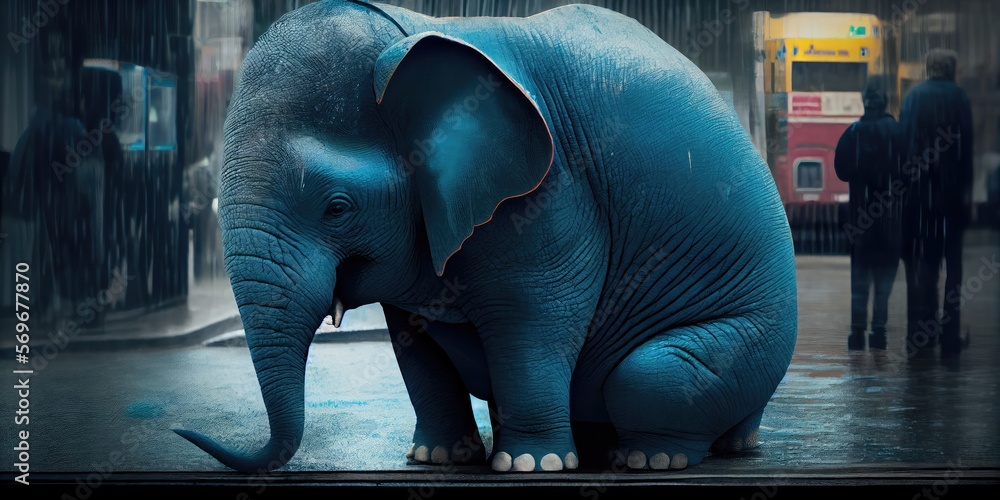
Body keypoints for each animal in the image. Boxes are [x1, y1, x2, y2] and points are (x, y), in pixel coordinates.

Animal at [175, 0, 798, 473]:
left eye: (336, 208)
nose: (187, 435)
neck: (413, 35)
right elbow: (412, 340)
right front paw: (437, 458)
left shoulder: (552, 194)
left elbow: (534, 315)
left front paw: (531, 466)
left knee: (651, 377)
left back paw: (648, 459)